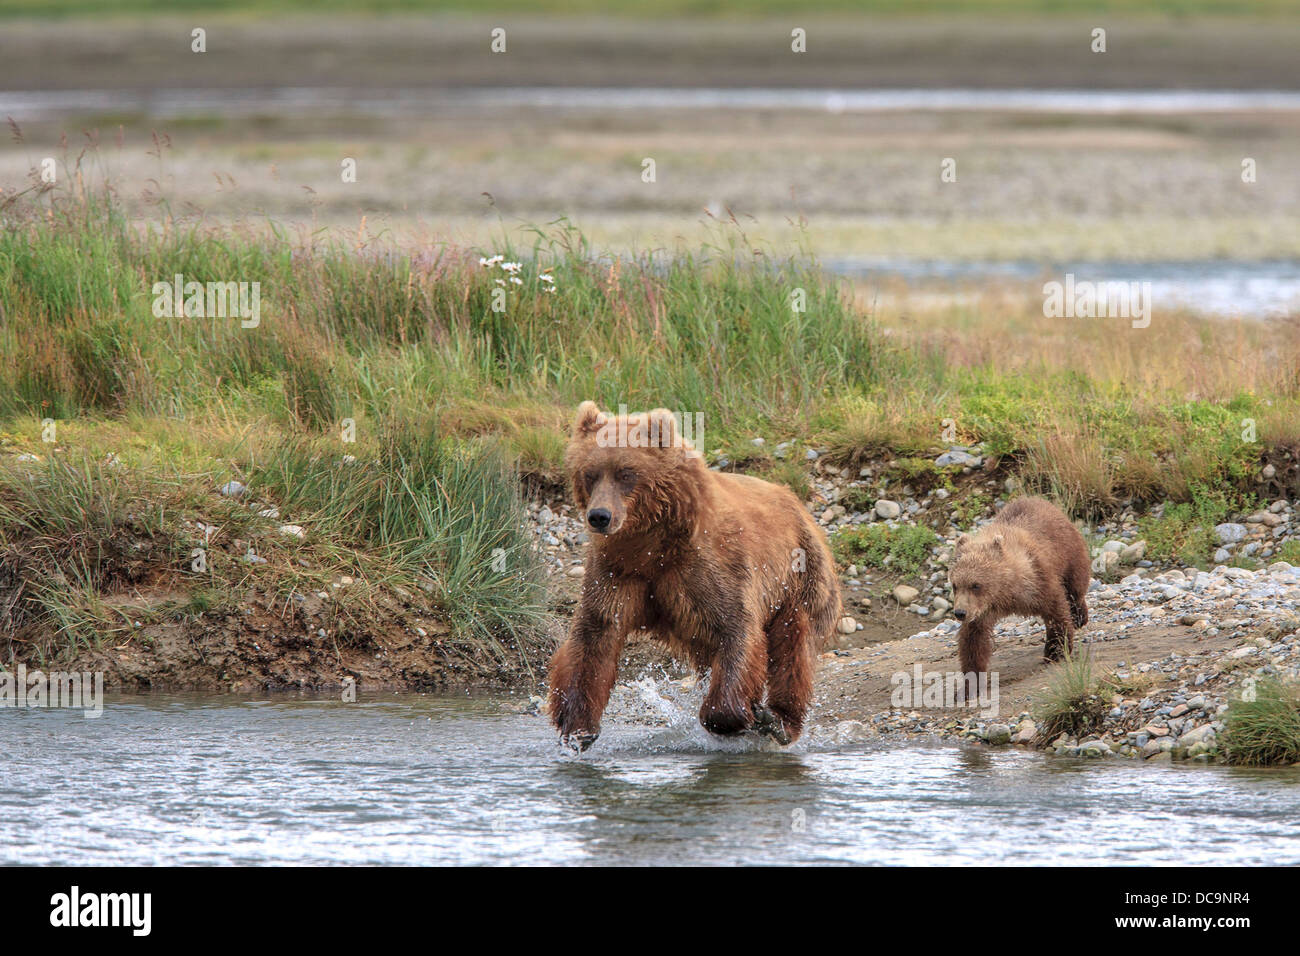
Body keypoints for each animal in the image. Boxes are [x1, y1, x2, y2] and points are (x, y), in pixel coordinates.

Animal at [547, 401, 840, 751]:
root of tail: (797, 502)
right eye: (590, 474)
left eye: (626, 473)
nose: (600, 516)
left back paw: (780, 720)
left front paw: (738, 716)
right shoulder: (617, 570)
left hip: (803, 574)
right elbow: (595, 635)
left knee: (794, 644)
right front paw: (577, 725)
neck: (652, 544)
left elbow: (737, 630)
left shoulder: (708, 568)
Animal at [948, 496, 1091, 677]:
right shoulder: (981, 611)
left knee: (1075, 588)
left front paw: (1055, 651)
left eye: (976, 585)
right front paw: (973, 672)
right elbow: (973, 639)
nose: (960, 612)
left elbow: (1055, 610)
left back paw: (1079, 617)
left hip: (1069, 552)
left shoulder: (1037, 580)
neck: (1005, 592)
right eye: (955, 585)